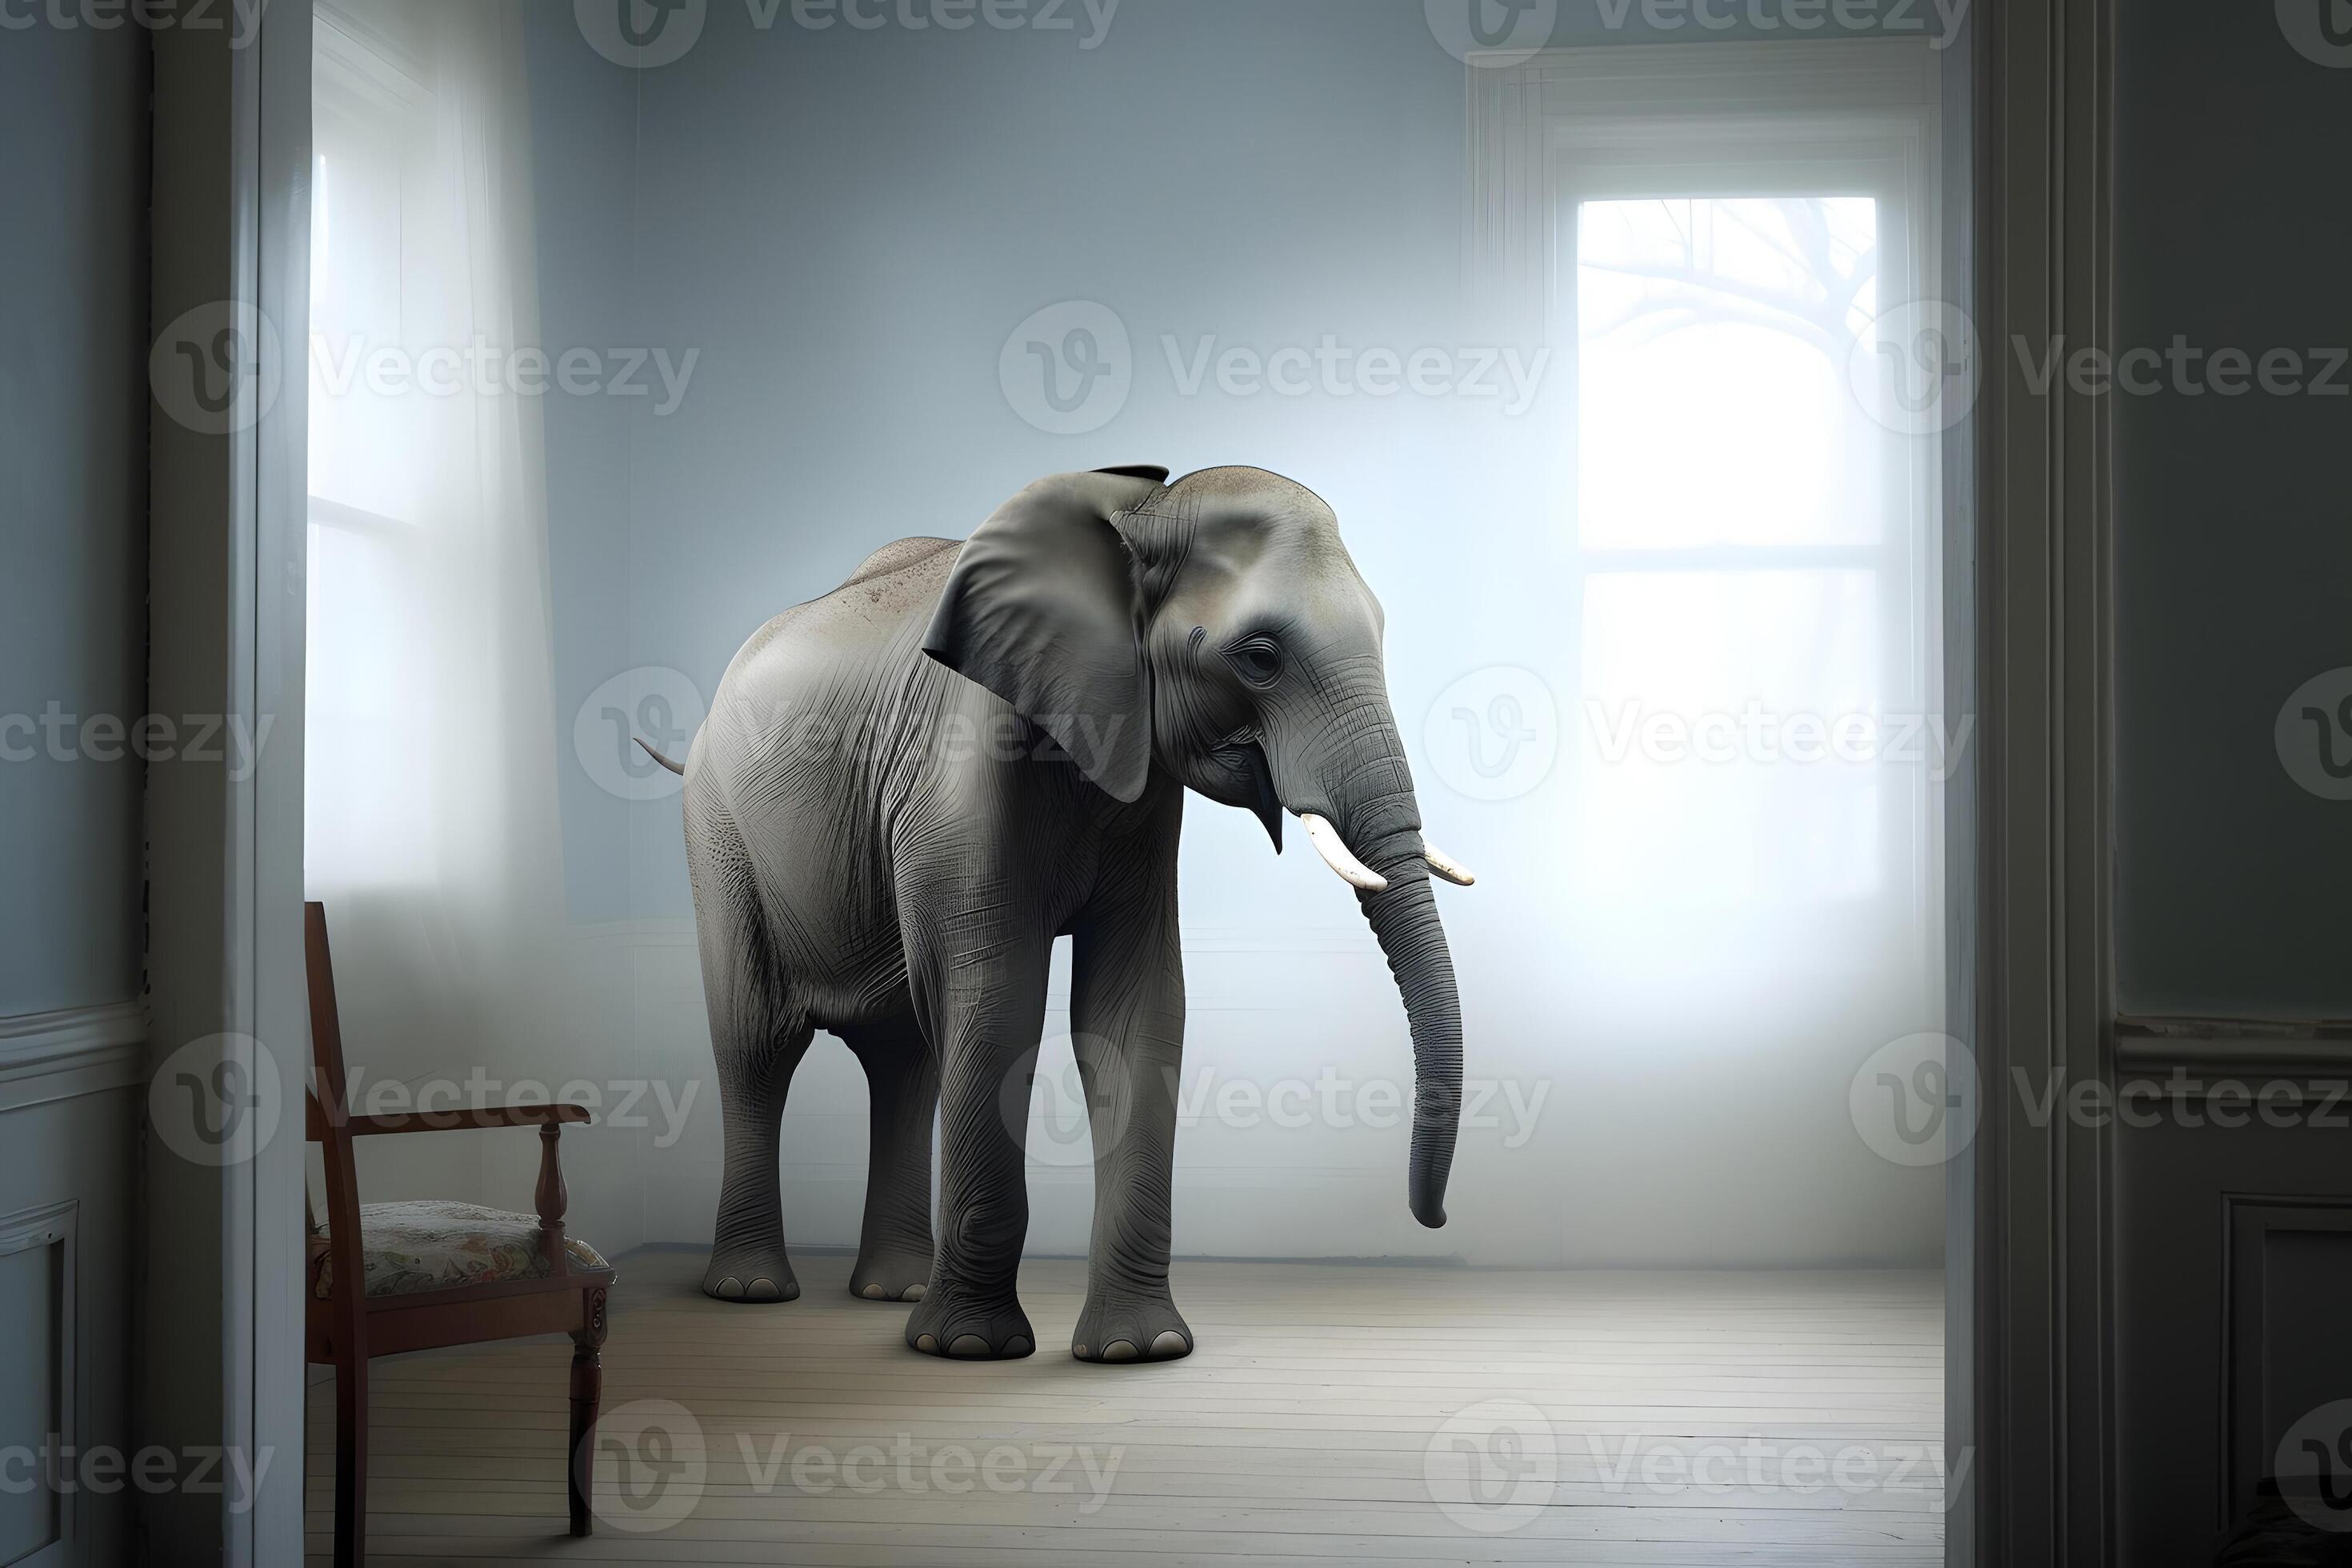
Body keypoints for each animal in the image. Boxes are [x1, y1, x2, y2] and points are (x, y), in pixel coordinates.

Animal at [645, 464, 1473, 1363]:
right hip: (719, 838)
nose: (1434, 1217)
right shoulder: (965, 766)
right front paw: (973, 1350)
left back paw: (893, 1291)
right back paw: (754, 1291)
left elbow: (1135, 1011)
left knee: (904, 1058)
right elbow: (998, 1004)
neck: (1138, 511)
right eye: (1259, 656)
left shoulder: (1144, 791)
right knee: (757, 1043)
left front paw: (1140, 1350)